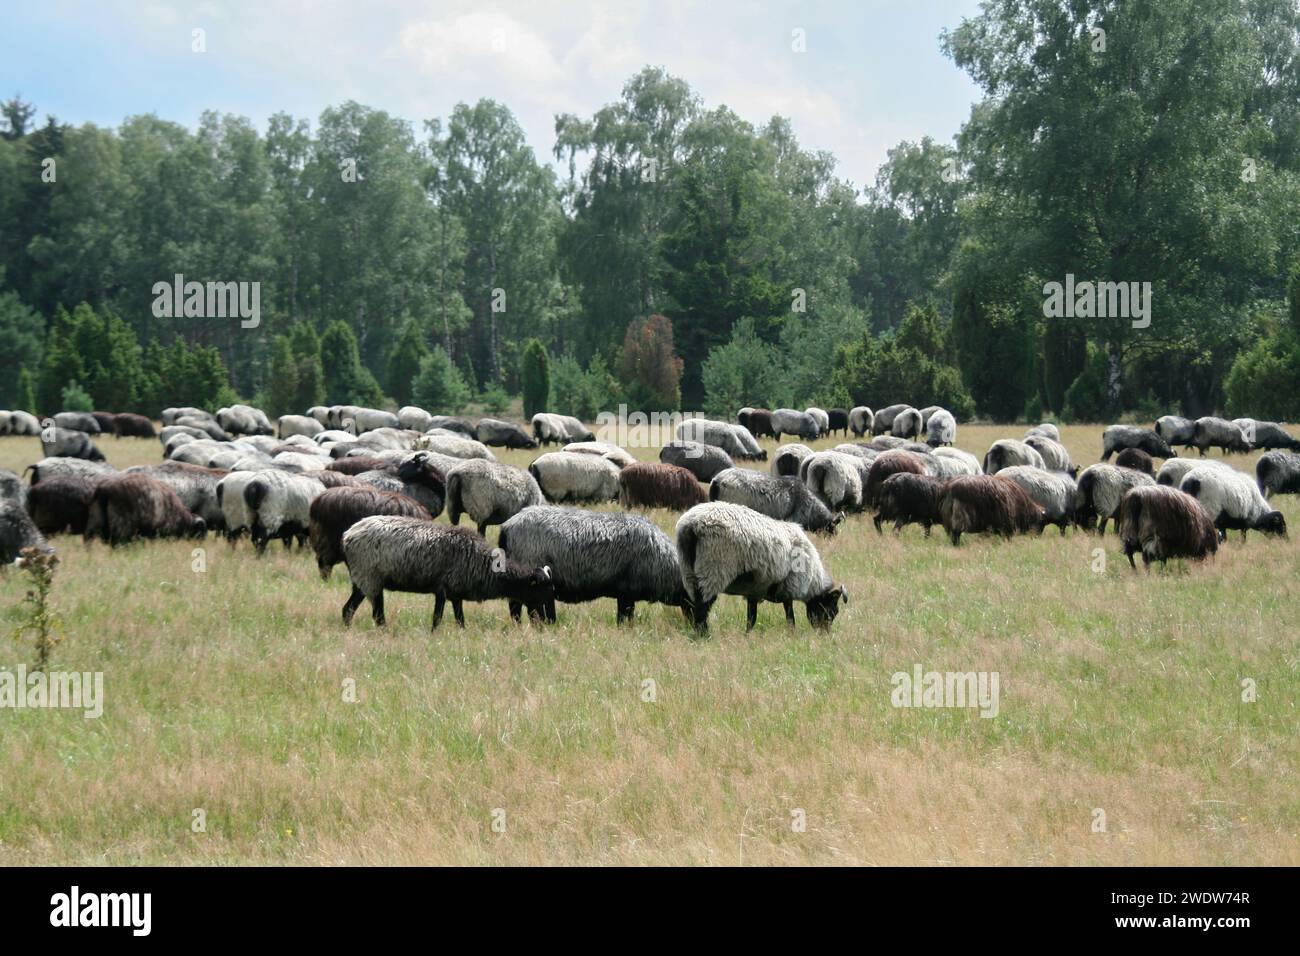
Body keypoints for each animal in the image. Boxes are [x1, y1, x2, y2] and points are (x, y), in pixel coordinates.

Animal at [342, 518, 554, 628]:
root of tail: (348, 534)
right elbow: (437, 618)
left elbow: (460, 620)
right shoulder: (442, 590)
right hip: (370, 578)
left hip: (361, 581)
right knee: (378, 615)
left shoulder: (455, 593)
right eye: (540, 590)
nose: (548, 622)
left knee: (347, 609)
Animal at [499, 506, 691, 624]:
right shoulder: (627, 594)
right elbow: (624, 620)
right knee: (522, 608)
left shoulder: (625, 595)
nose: (696, 631)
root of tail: (507, 526)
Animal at [675, 502, 847, 634]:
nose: (823, 635)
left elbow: (752, 617)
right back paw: (704, 635)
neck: (812, 581)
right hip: (713, 570)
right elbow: (790, 616)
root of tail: (691, 525)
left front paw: (748, 636)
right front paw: (792, 635)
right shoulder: (789, 586)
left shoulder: (754, 590)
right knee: (702, 607)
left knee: (693, 604)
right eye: (832, 610)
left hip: (689, 571)